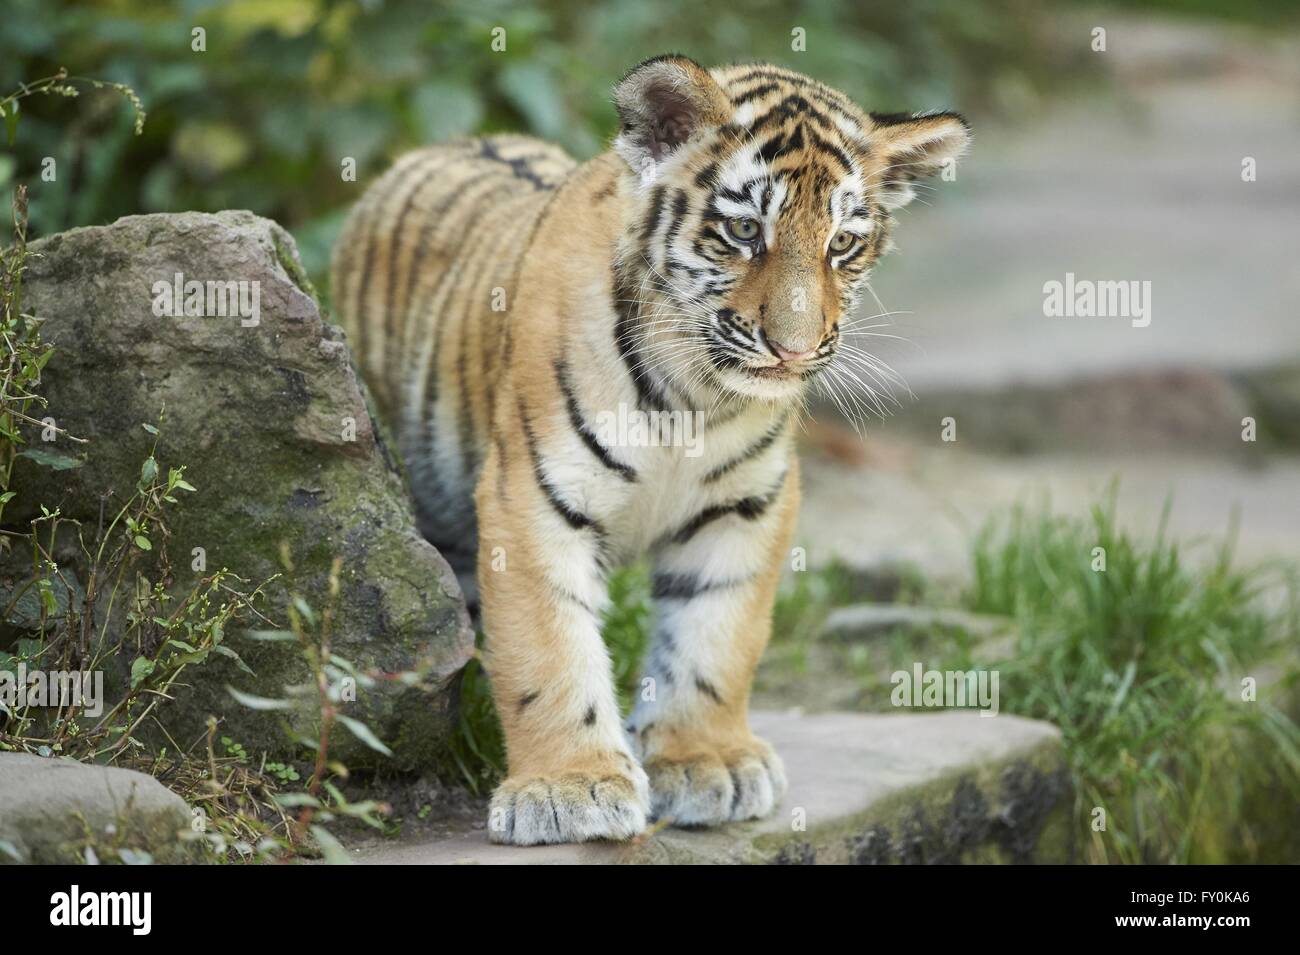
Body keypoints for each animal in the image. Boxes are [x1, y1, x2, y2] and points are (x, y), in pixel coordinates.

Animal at [331, 55, 970, 846]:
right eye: (743, 230)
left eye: (842, 244)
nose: (792, 351)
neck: (694, 395)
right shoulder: (531, 496)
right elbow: (547, 646)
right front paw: (568, 787)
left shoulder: (747, 504)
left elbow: (717, 639)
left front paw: (706, 762)